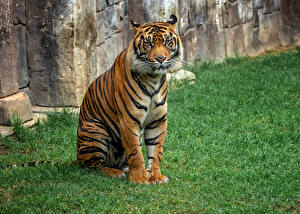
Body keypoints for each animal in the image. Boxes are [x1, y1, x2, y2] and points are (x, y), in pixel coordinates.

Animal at [76, 14, 183, 184]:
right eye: (148, 43)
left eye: (167, 42)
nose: (160, 58)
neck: (153, 78)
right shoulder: (128, 120)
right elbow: (135, 153)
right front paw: (140, 179)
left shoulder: (158, 120)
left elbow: (156, 151)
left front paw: (155, 176)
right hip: (96, 131)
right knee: (94, 166)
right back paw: (114, 172)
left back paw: (126, 169)